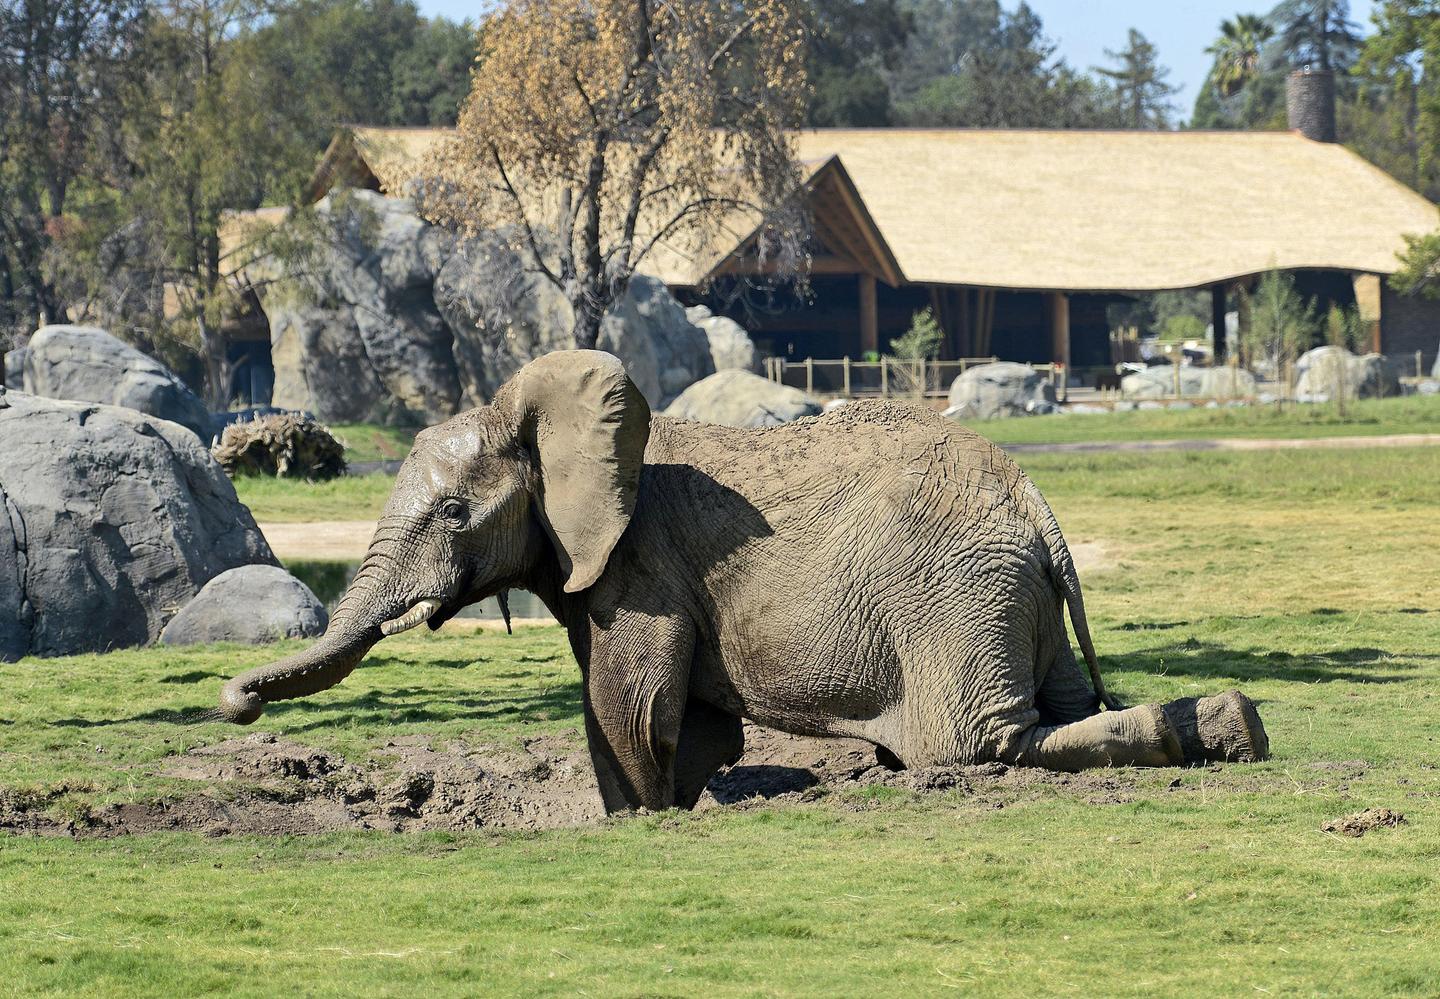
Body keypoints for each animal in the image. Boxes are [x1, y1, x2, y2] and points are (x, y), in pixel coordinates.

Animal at [218, 350, 1269, 812]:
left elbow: (631, 704)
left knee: (975, 742)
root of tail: (1036, 500)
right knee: (1055, 709)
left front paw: (642, 820)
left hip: (960, 595)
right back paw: (1227, 726)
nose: (235, 698)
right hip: (1014, 594)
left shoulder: (639, 562)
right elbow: (680, 722)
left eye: (452, 515)